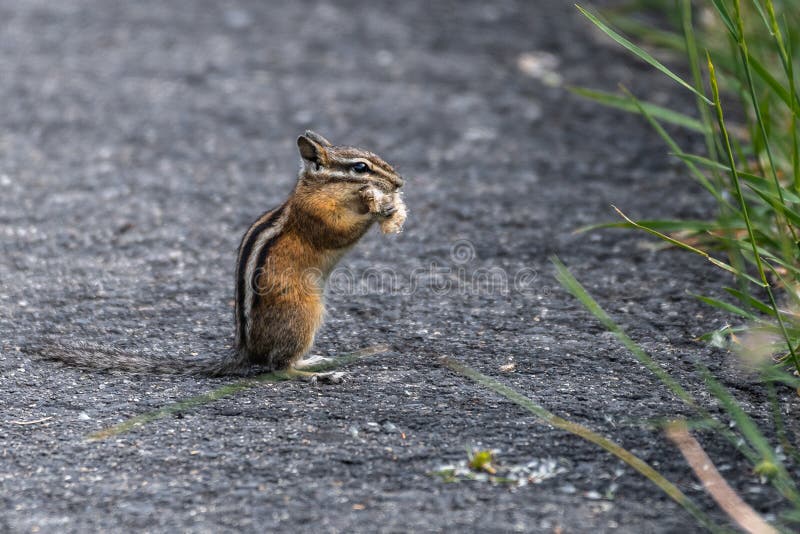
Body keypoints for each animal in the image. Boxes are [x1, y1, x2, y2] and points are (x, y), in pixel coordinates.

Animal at [29, 131, 407, 376]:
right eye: (360, 168)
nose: (400, 182)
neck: (314, 189)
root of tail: (246, 351)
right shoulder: (315, 216)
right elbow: (339, 232)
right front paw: (380, 209)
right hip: (303, 314)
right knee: (277, 367)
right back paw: (315, 372)